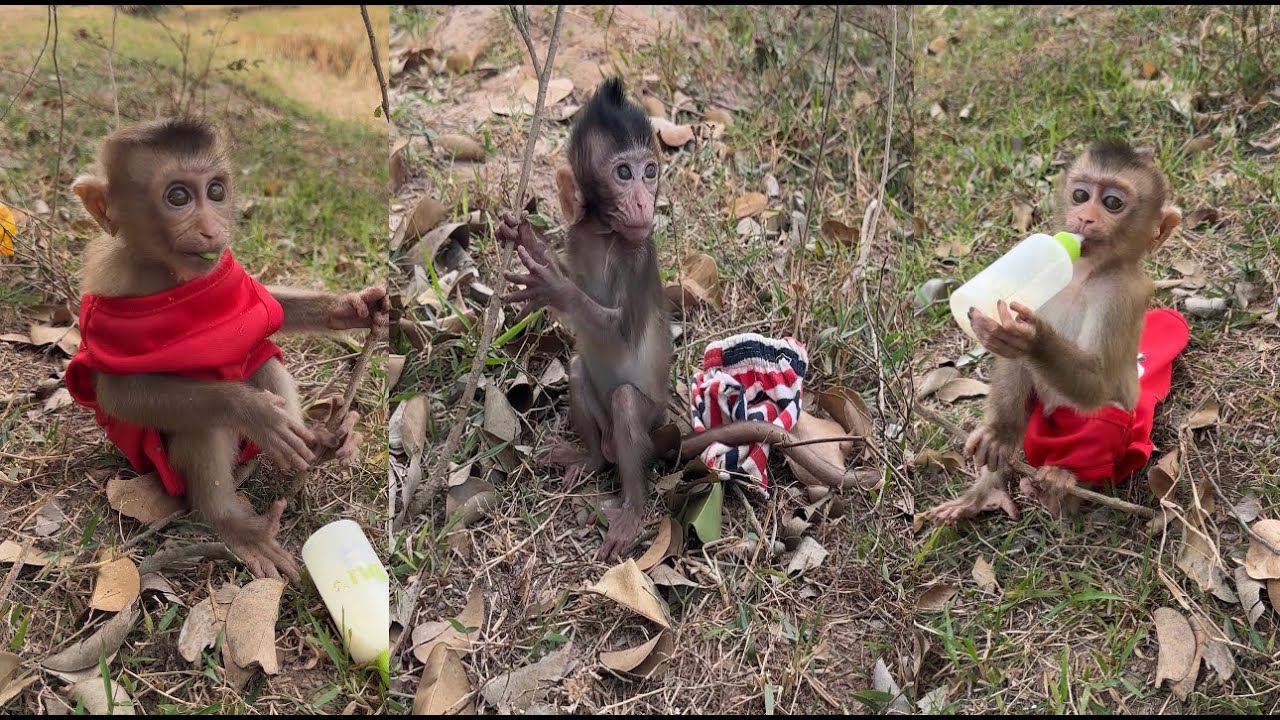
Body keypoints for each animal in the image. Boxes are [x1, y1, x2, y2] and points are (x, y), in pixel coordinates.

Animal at [64, 118, 389, 584]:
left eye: (216, 191)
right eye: (178, 197)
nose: (212, 230)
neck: (167, 273)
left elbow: (261, 312)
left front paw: (351, 309)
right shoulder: (116, 292)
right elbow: (118, 394)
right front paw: (253, 411)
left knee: (261, 357)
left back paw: (320, 448)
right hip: (157, 465)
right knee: (204, 420)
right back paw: (232, 523)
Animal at [497, 78, 672, 561]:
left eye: (650, 171)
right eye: (624, 174)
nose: (642, 201)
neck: (606, 234)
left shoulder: (640, 255)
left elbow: (621, 332)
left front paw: (553, 289)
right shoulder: (578, 236)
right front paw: (526, 238)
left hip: (653, 421)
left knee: (626, 402)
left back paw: (632, 510)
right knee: (577, 368)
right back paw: (590, 458)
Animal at [926, 140, 1187, 525]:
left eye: (1112, 203)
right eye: (1080, 195)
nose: (1085, 218)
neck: (1085, 273)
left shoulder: (1123, 294)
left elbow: (1098, 384)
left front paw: (1030, 338)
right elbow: (1015, 363)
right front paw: (999, 434)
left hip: (1125, 435)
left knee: (1102, 418)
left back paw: (1060, 485)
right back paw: (988, 488)